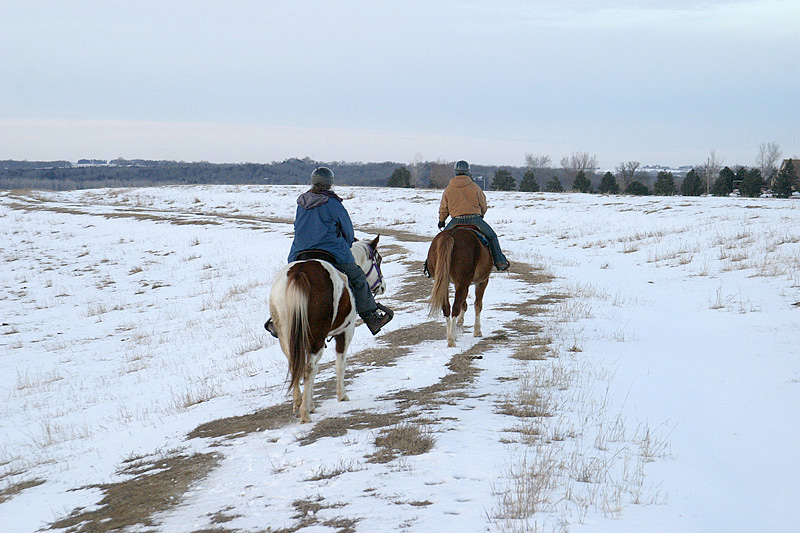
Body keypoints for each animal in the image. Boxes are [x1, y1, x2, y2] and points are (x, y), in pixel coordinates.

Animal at [267, 235, 386, 423]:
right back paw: (305, 414)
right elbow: (340, 363)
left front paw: (310, 403)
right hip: (317, 336)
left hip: (288, 335)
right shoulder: (346, 331)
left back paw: (299, 404)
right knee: (309, 368)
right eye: (379, 260)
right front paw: (341, 395)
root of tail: (299, 273)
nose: (382, 286)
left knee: (296, 365)